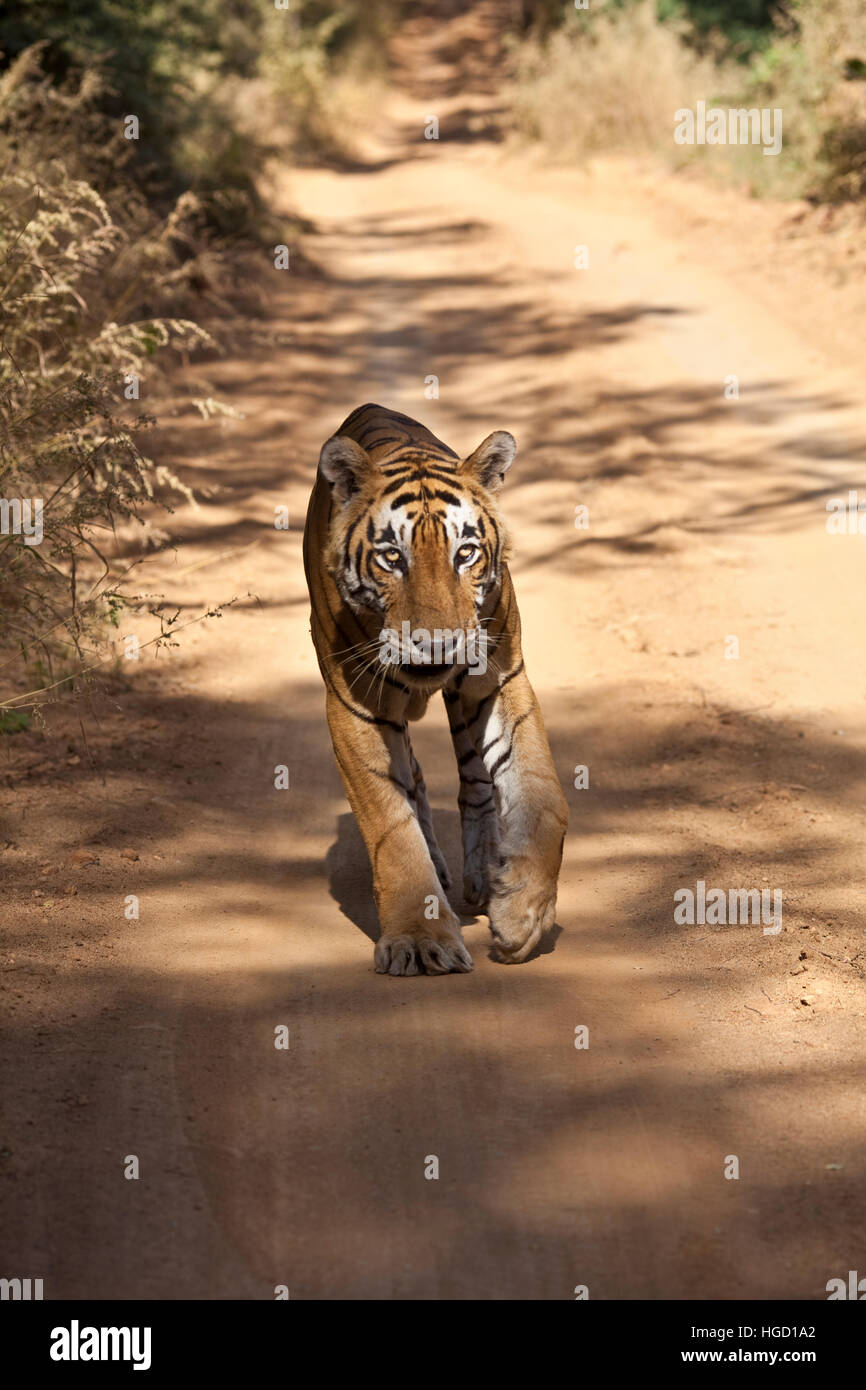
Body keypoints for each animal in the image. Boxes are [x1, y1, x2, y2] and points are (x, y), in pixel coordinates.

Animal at [303, 403, 568, 976]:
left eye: (464, 553)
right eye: (391, 557)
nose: (437, 645)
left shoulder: (501, 676)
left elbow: (543, 796)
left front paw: (522, 914)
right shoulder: (354, 707)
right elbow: (392, 828)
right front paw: (421, 941)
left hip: (467, 702)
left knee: (475, 782)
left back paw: (485, 873)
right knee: (416, 781)